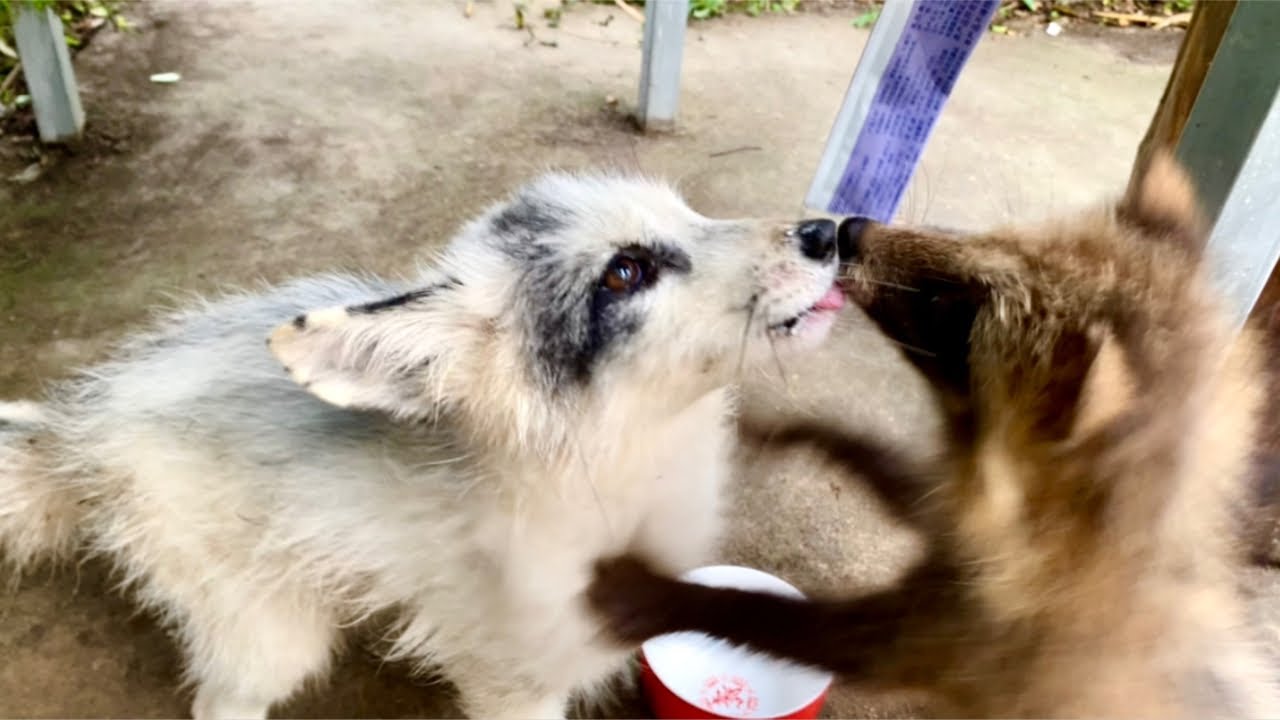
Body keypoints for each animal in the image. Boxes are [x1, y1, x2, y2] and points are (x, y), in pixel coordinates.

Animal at [0, 172, 847, 719]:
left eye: (690, 212)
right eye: (624, 272)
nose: (828, 231)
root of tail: (82, 423)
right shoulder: (516, 689)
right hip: (269, 635)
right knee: (220, 701)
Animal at [587, 153, 1280, 718]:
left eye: (952, 313)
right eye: (986, 237)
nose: (846, 230)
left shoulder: (957, 636)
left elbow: (781, 621)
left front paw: (664, 596)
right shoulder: (960, 535)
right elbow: (904, 479)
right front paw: (805, 432)